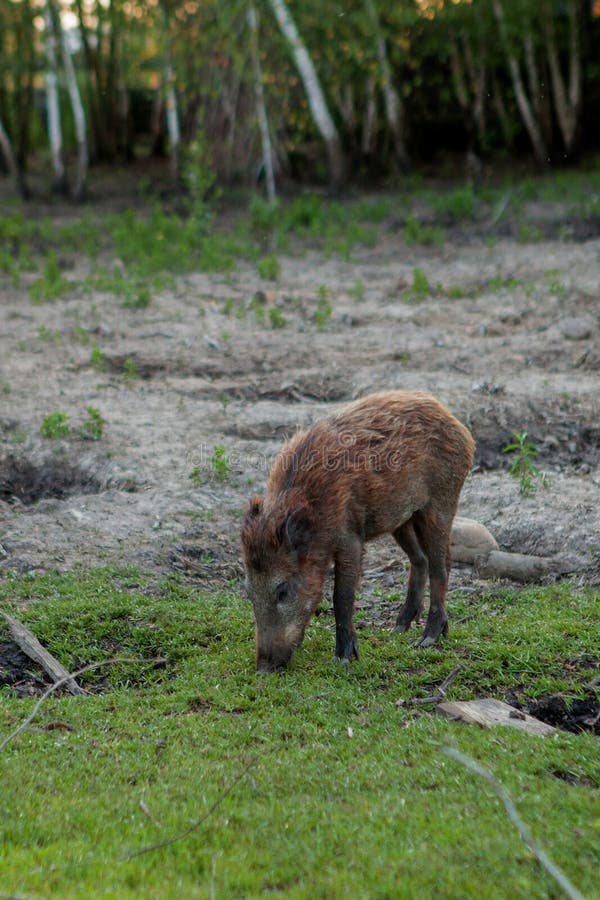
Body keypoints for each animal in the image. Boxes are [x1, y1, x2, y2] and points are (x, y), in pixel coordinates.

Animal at [241, 390, 475, 673]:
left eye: (283, 590)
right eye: (249, 592)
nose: (263, 669)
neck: (316, 505)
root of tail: (456, 422)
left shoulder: (350, 537)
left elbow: (341, 595)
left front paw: (344, 658)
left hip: (441, 503)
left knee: (441, 566)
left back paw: (427, 639)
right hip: (401, 518)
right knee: (420, 560)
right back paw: (398, 629)